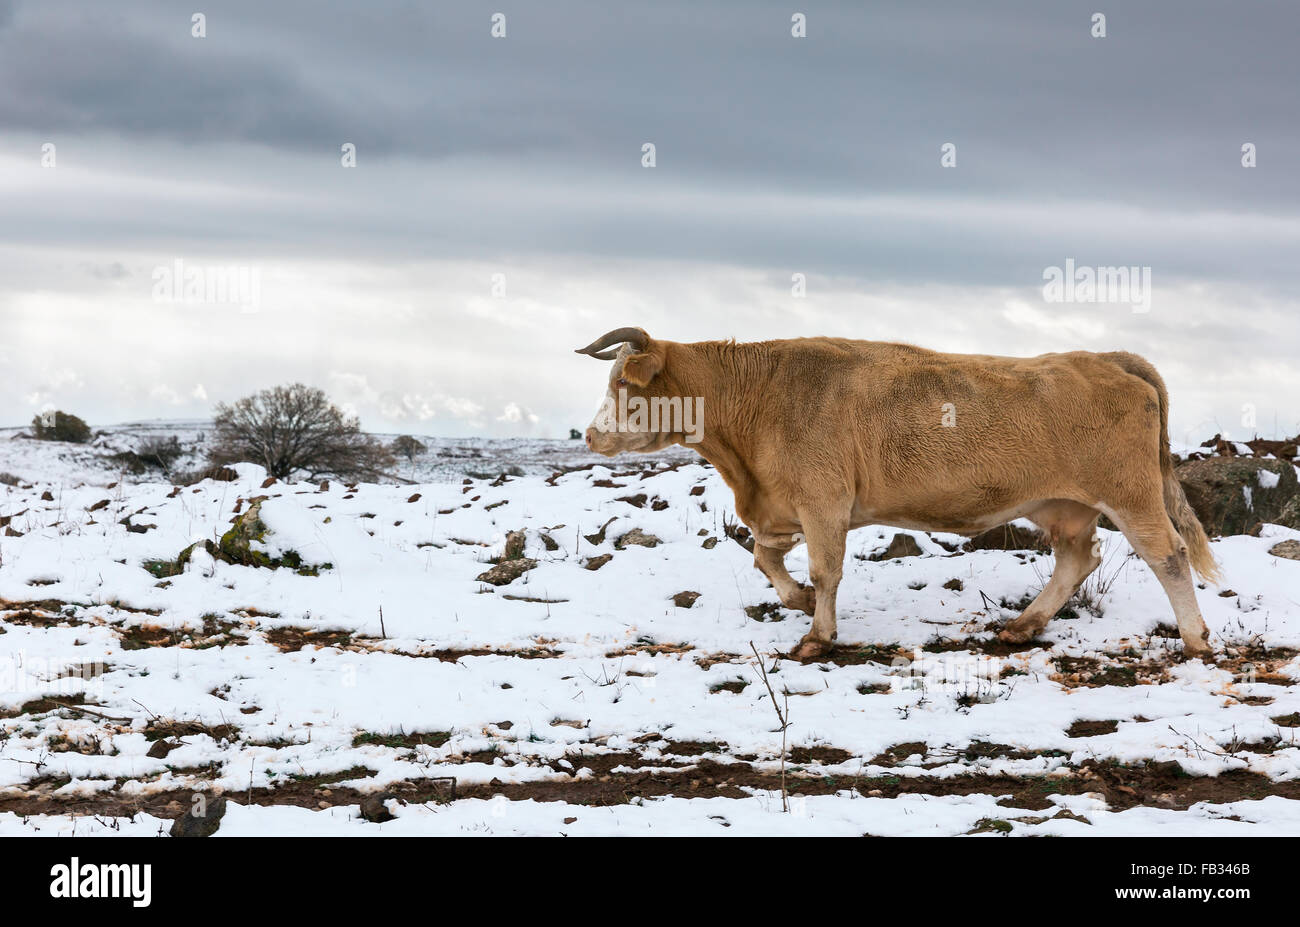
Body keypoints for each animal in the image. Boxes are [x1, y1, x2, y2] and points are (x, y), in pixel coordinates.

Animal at [576, 327, 1221, 662]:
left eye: (622, 382)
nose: (590, 434)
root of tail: (1109, 357)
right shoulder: (780, 506)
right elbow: (765, 559)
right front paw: (799, 602)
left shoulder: (823, 502)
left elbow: (825, 571)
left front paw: (817, 636)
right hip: (1066, 506)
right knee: (1076, 559)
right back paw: (1022, 625)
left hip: (1130, 494)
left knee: (1168, 555)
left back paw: (1195, 639)